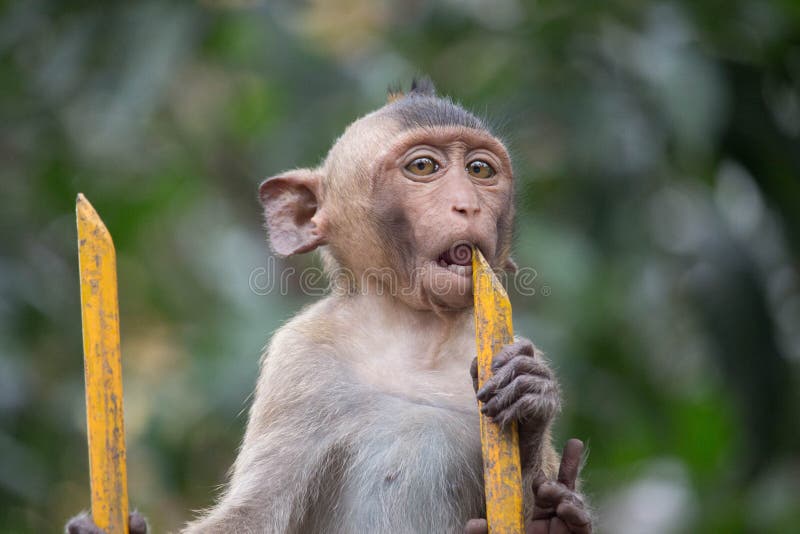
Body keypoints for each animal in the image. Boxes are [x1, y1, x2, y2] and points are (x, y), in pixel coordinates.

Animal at [67, 78, 592, 534]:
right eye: (424, 167)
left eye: (481, 171)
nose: (469, 205)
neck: (417, 335)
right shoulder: (300, 362)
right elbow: (254, 515)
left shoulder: (521, 342)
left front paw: (532, 420)